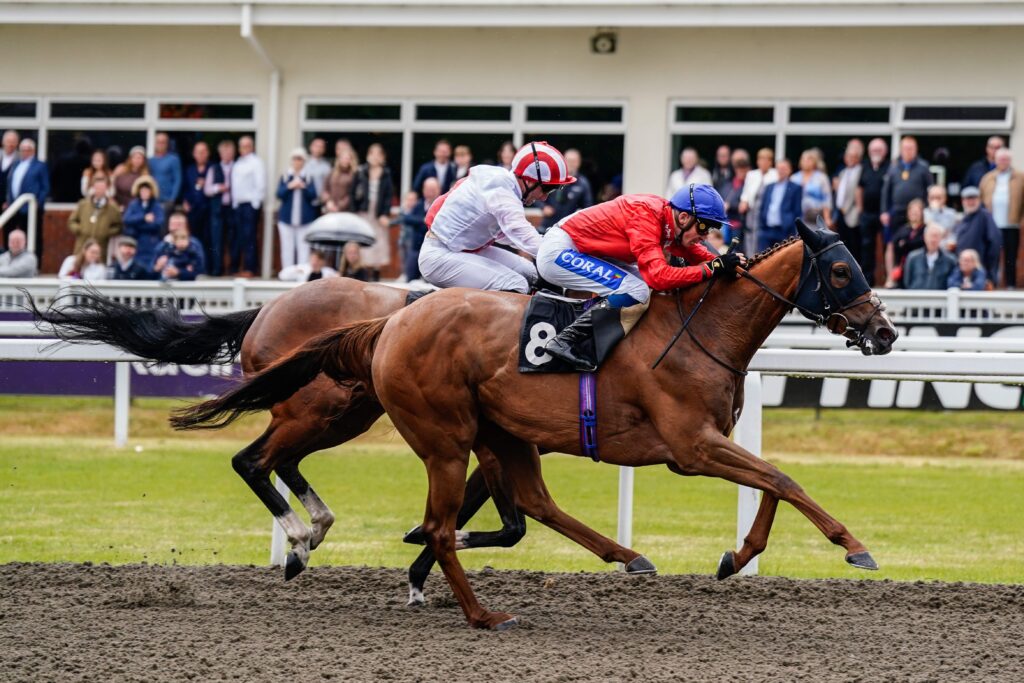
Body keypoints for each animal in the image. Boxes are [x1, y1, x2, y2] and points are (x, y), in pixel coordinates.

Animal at [171, 220, 899, 629]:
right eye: (841, 269)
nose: (886, 332)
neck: (699, 330)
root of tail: (389, 321)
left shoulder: (703, 443)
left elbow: (772, 484)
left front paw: (734, 556)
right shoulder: (690, 446)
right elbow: (782, 478)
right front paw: (854, 545)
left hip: (477, 428)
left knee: (526, 505)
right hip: (429, 431)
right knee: (419, 515)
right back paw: (471, 607)